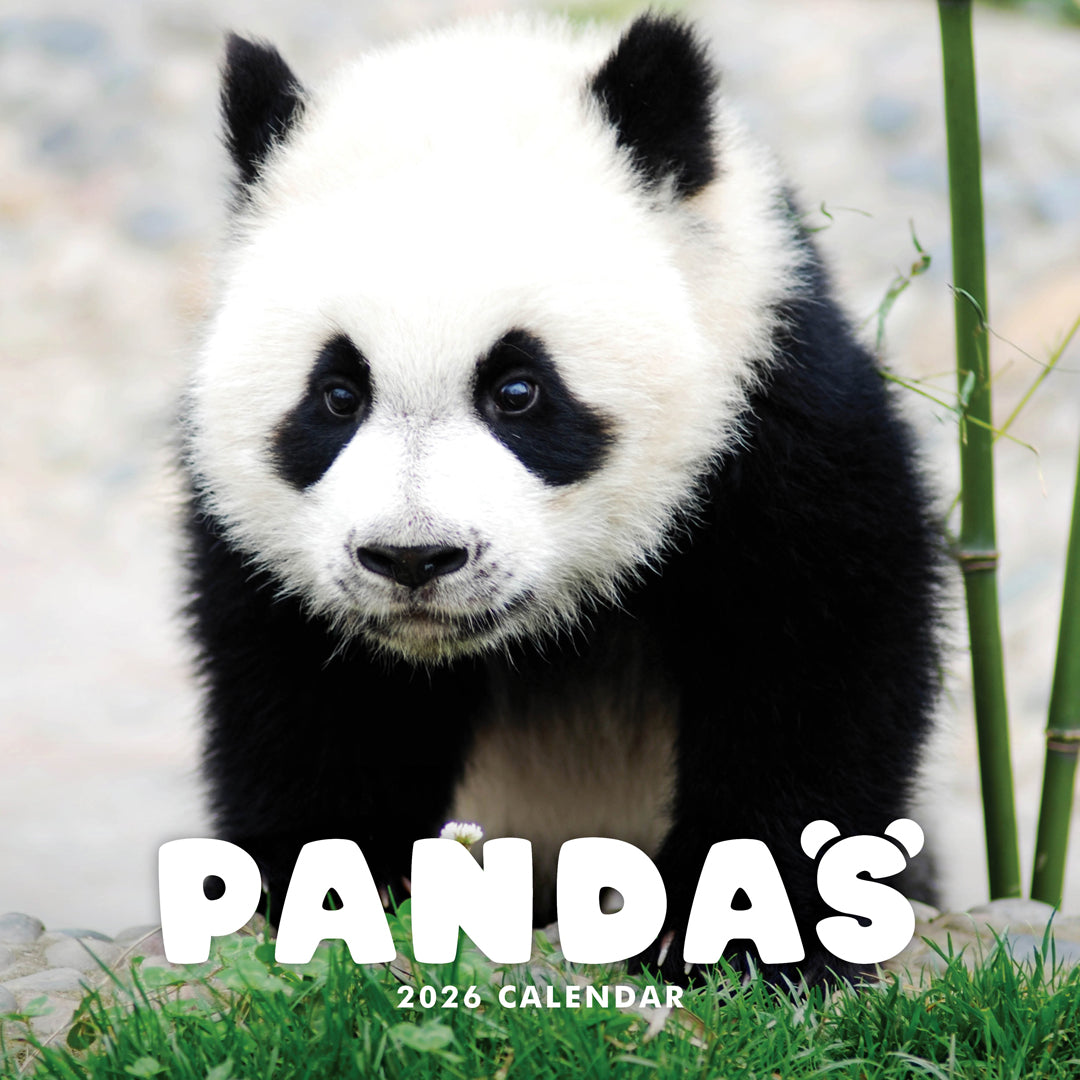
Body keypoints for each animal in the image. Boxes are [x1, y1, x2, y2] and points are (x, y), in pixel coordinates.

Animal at [183, 13, 942, 987]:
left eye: (518, 389)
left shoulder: (771, 417)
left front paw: (742, 936)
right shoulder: (262, 554)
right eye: (338, 395)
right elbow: (310, 707)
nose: (413, 558)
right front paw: (334, 901)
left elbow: (814, 658)